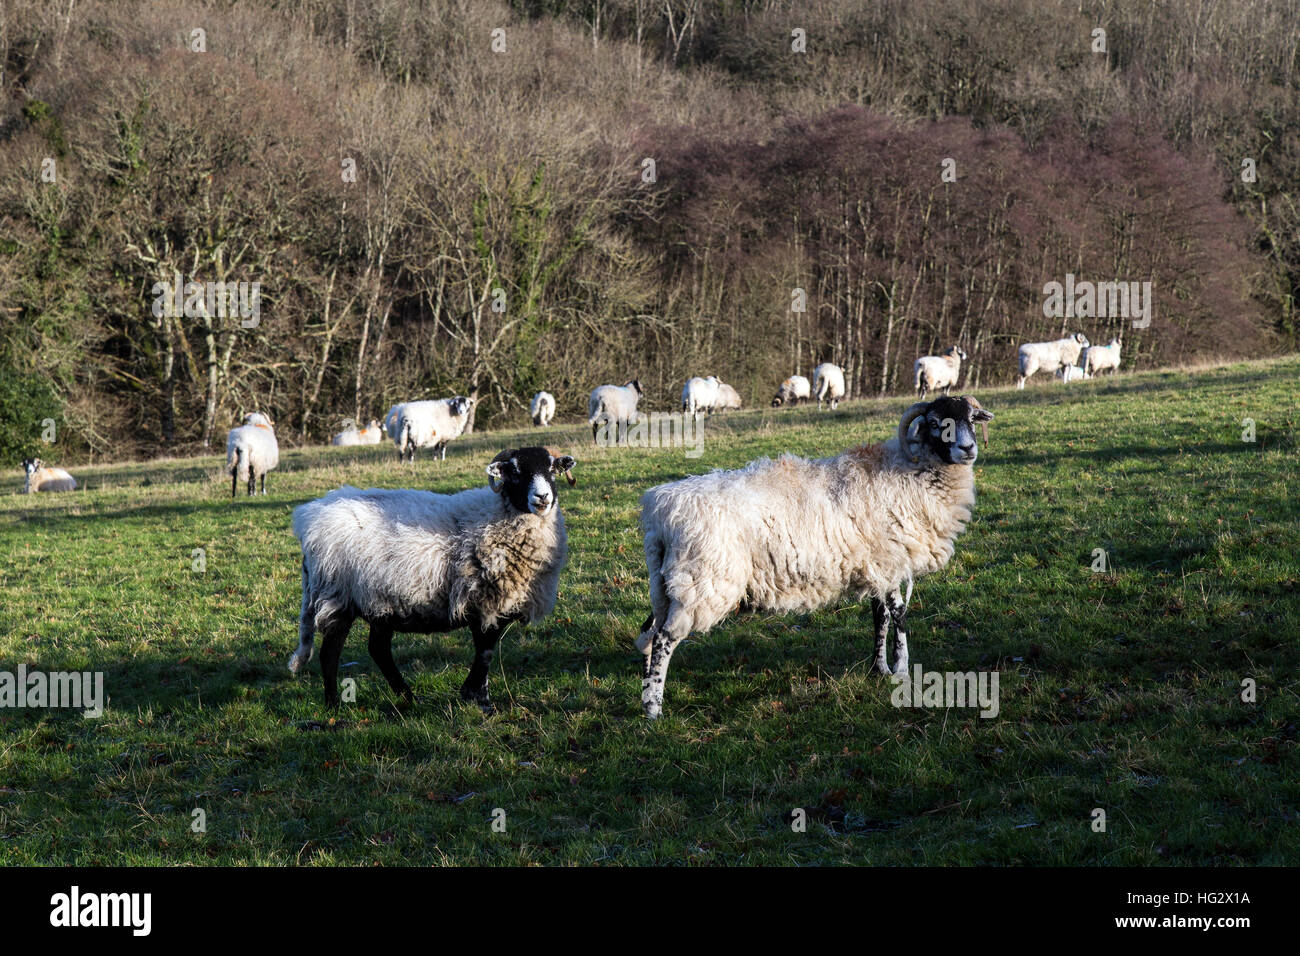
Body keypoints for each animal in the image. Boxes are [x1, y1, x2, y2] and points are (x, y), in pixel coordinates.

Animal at [288, 446, 577, 710]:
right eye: (515, 472)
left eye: (552, 469)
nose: (542, 497)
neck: (495, 516)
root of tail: (308, 519)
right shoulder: (484, 598)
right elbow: (485, 649)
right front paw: (480, 699)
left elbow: (486, 648)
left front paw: (472, 694)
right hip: (339, 596)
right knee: (330, 653)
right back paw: (334, 705)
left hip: (380, 599)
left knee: (378, 649)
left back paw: (409, 698)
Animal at [635, 394, 993, 719]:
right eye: (934, 423)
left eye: (971, 419)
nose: (968, 450)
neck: (909, 474)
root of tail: (659, 509)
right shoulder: (890, 561)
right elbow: (899, 615)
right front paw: (902, 670)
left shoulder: (875, 564)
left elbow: (879, 617)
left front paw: (879, 670)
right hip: (703, 582)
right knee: (665, 638)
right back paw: (654, 710)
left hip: (669, 582)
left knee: (650, 631)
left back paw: (647, 690)